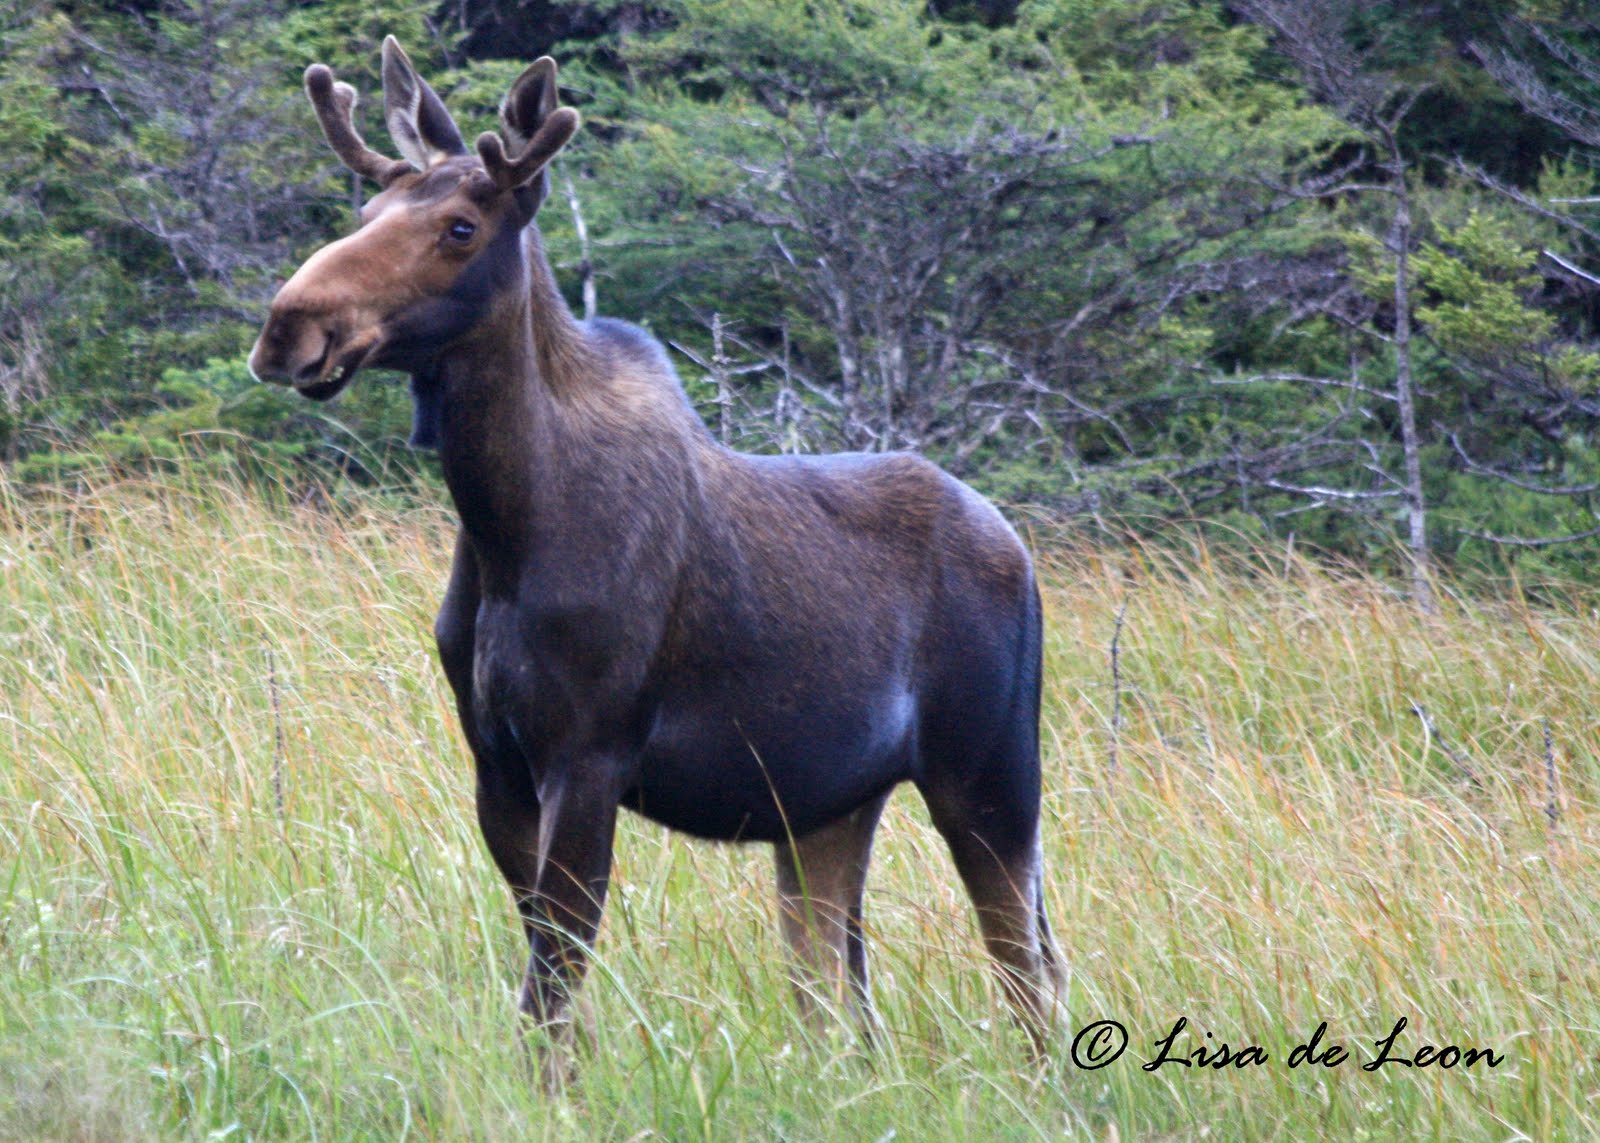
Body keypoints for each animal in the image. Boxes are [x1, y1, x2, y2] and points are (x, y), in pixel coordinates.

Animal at [249, 37, 1066, 1062]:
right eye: (364, 213)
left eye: (461, 228)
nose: (289, 326)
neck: (507, 523)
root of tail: (1019, 550)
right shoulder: (496, 763)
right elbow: (550, 972)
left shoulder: (590, 749)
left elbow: (552, 981)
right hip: (831, 804)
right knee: (841, 990)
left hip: (990, 769)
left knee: (1029, 971)